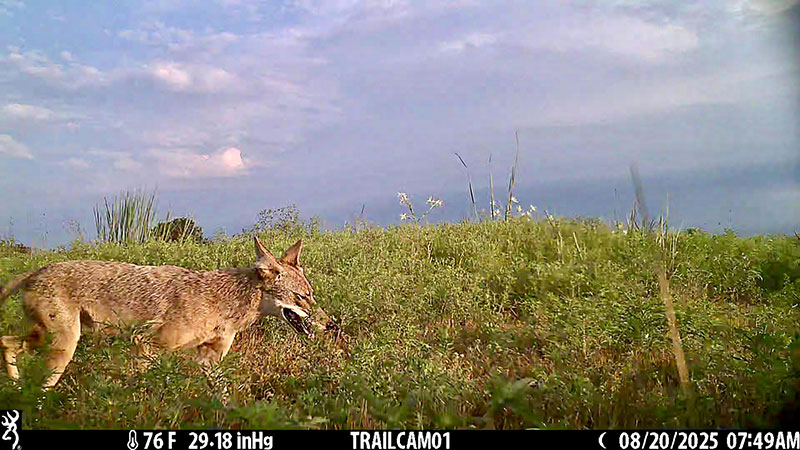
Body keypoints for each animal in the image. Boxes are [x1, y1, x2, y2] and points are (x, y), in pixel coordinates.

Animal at [0, 236, 332, 388]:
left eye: (312, 296)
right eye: (303, 298)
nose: (332, 325)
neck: (225, 301)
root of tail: (36, 271)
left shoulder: (207, 360)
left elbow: (224, 396)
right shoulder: (145, 345)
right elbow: (136, 383)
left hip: (48, 340)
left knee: (5, 342)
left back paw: (15, 386)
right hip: (63, 346)